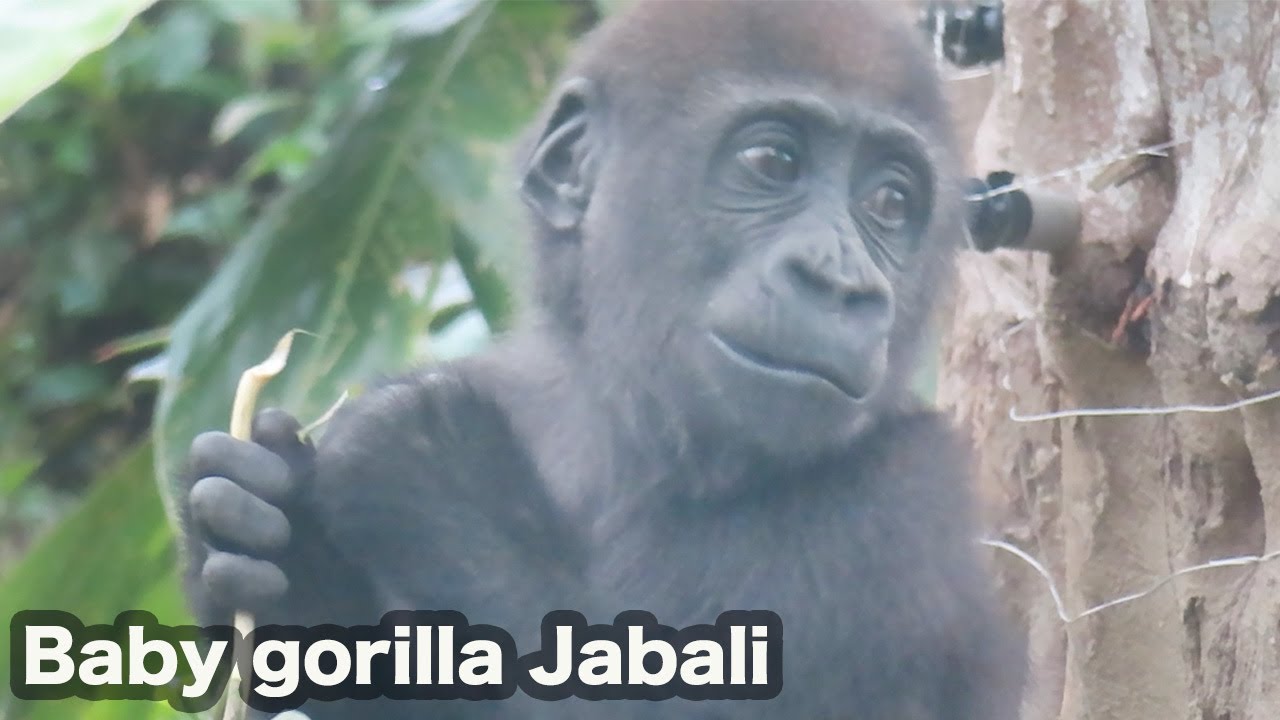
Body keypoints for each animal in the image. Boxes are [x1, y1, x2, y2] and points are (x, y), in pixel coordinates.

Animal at [179, 1, 1024, 718]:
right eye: (772, 162)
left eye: (889, 205)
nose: (840, 283)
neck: (624, 424)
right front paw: (297, 569)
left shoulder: (914, 493)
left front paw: (436, 471)